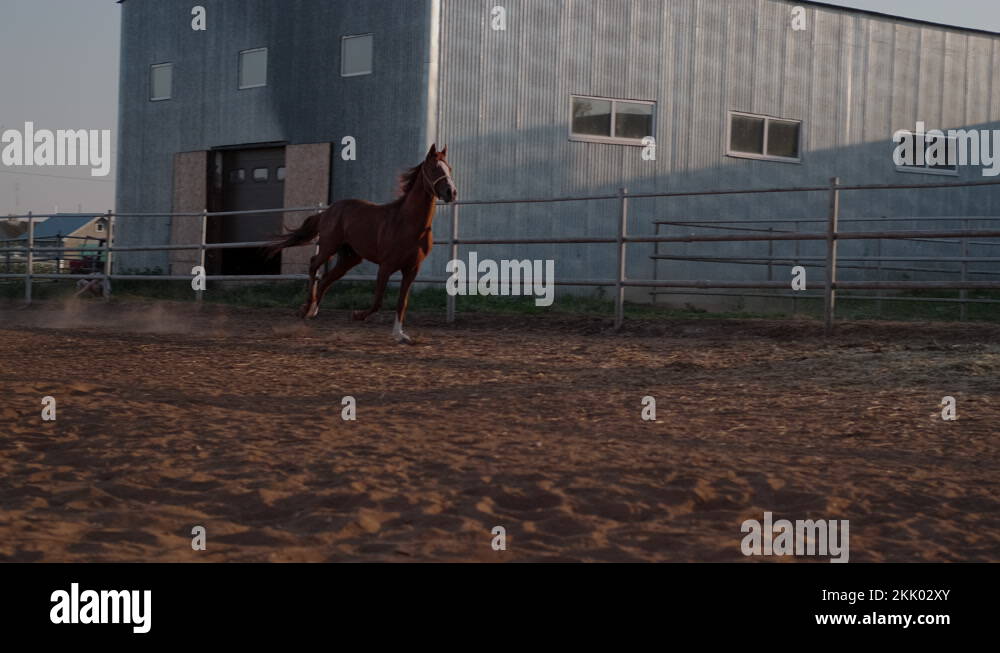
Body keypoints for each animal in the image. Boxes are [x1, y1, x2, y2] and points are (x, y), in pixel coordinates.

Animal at [265, 144, 457, 345]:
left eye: (449, 168)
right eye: (434, 168)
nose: (451, 192)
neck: (409, 224)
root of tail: (328, 211)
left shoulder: (412, 269)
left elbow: (402, 303)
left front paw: (400, 335)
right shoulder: (386, 266)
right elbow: (378, 301)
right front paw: (357, 315)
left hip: (350, 258)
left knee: (326, 278)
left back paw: (313, 311)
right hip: (329, 247)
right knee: (313, 265)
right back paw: (305, 308)